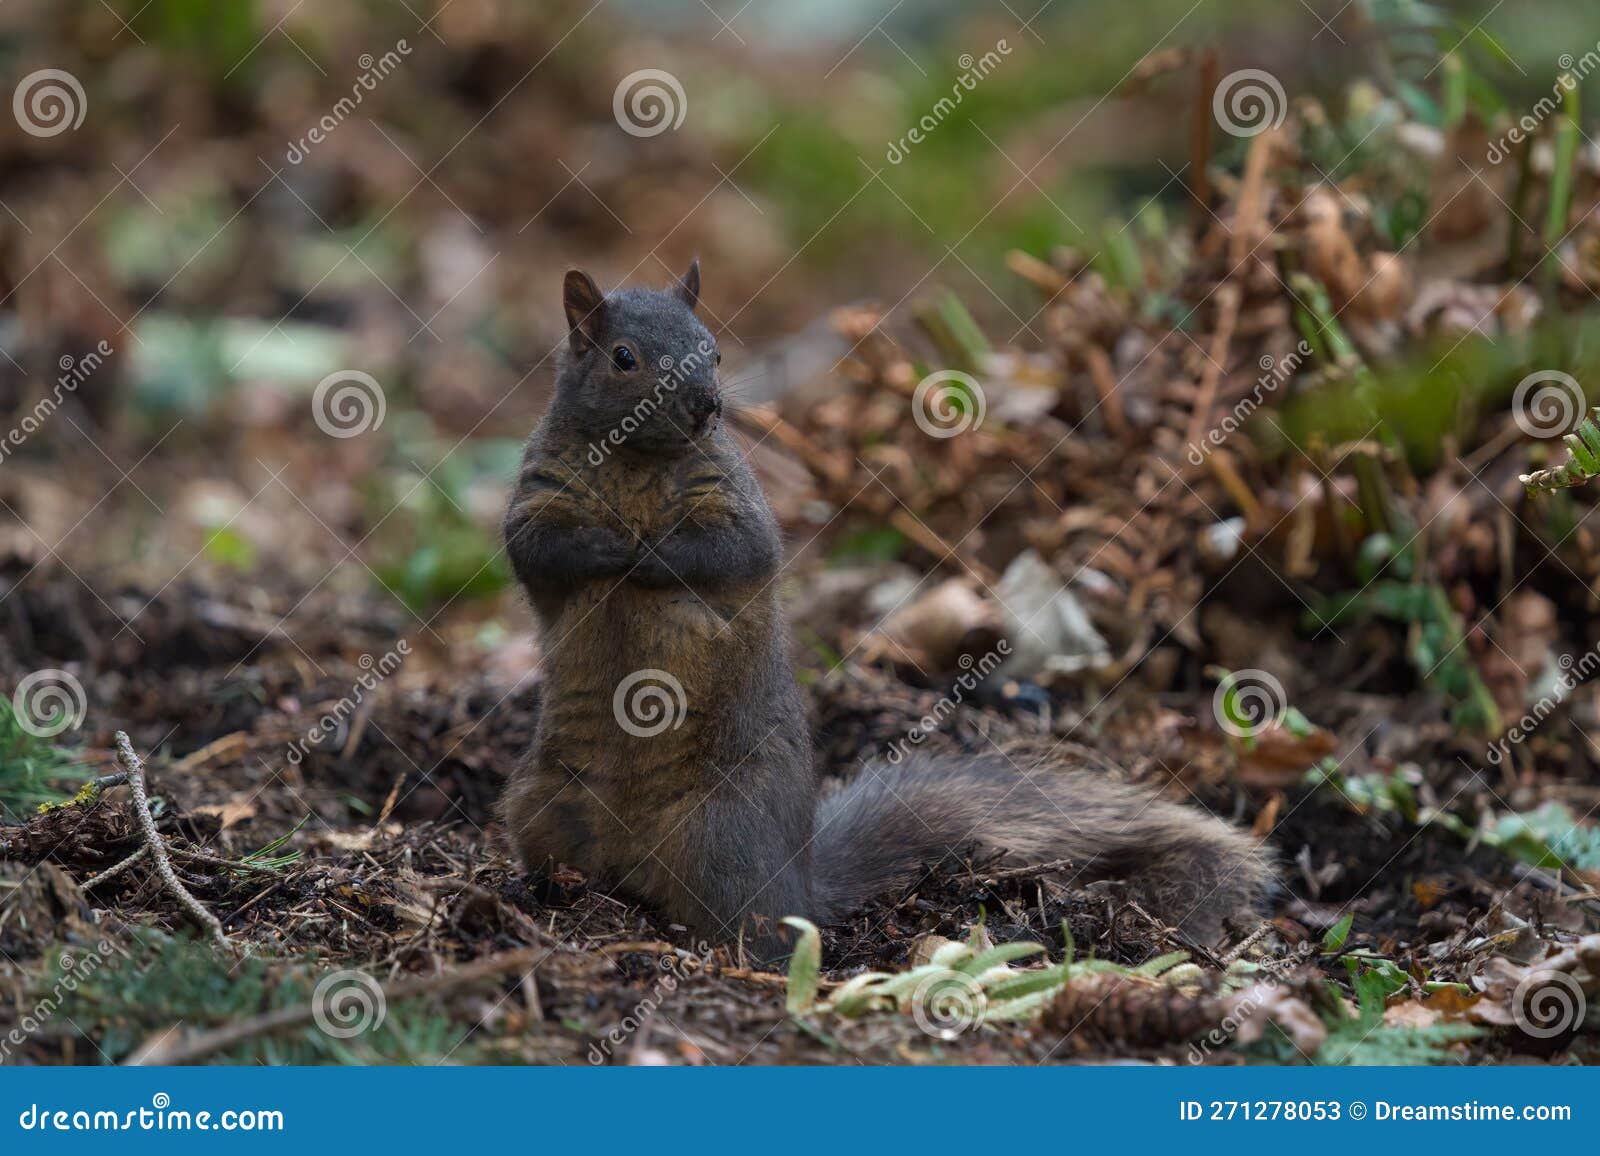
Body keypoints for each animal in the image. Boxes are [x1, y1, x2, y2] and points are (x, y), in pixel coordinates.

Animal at [500, 262, 1274, 959]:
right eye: (624, 358)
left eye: (715, 350)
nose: (705, 407)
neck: (636, 458)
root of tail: (801, 883)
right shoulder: (539, 490)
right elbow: (535, 549)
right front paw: (610, 544)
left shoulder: (736, 505)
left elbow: (735, 552)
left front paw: (644, 549)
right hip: (544, 801)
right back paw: (551, 892)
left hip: (722, 834)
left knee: (754, 927)